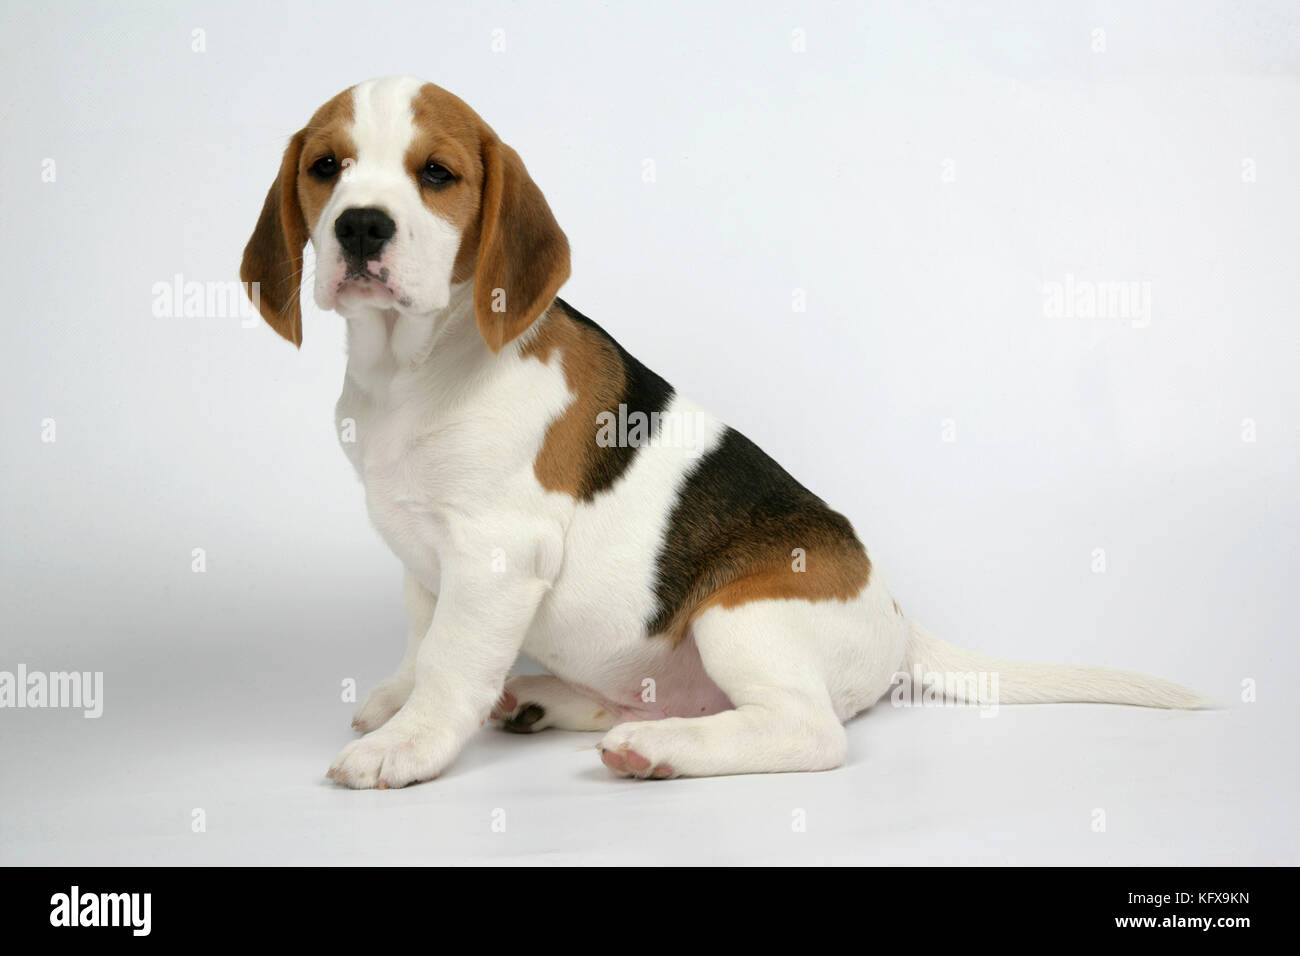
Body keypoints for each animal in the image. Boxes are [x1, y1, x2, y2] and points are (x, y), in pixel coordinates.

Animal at [239, 74, 1201, 790]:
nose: (362, 226)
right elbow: (421, 639)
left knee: (808, 733)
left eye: (436, 175)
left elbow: (450, 661)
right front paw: (397, 700)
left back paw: (658, 750)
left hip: (740, 618)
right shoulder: (423, 556)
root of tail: (897, 615)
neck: (412, 365)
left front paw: (408, 743)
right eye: (327, 166)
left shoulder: (495, 554)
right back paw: (549, 703)